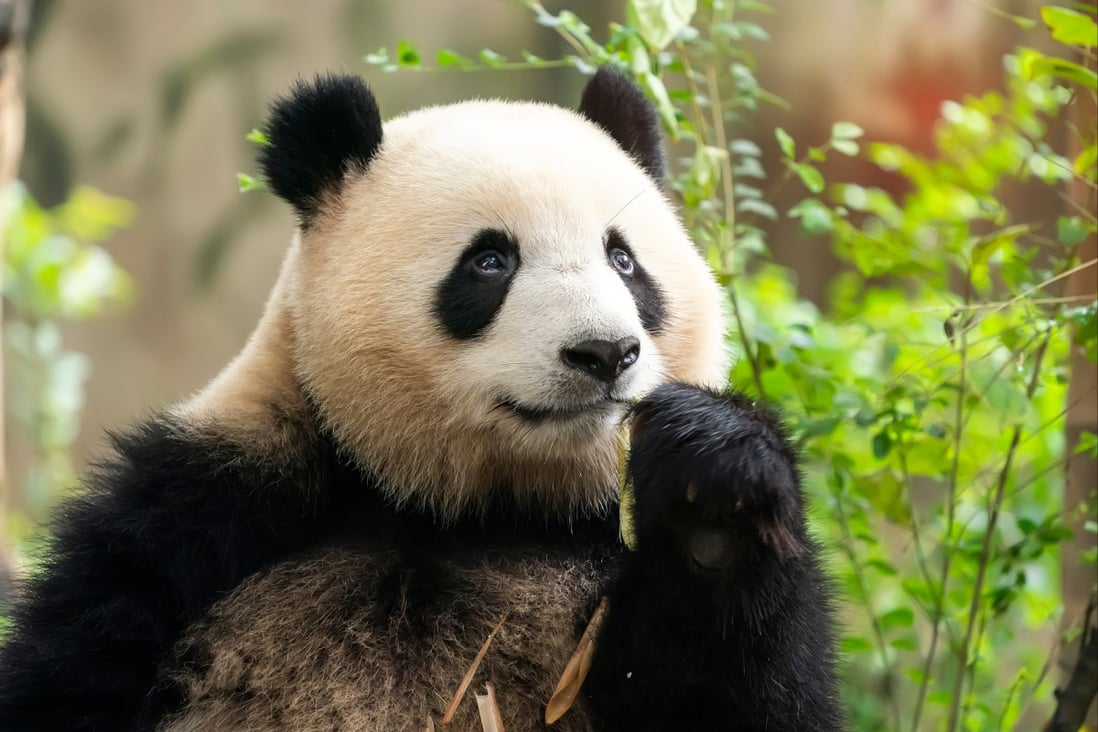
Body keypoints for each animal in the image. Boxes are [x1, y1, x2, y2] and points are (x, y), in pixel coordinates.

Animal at [0, 69, 842, 731]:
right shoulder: (204, 509)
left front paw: (713, 495)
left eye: (625, 259)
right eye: (490, 261)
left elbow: (749, 697)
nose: (605, 353)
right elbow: (73, 673)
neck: (465, 509)